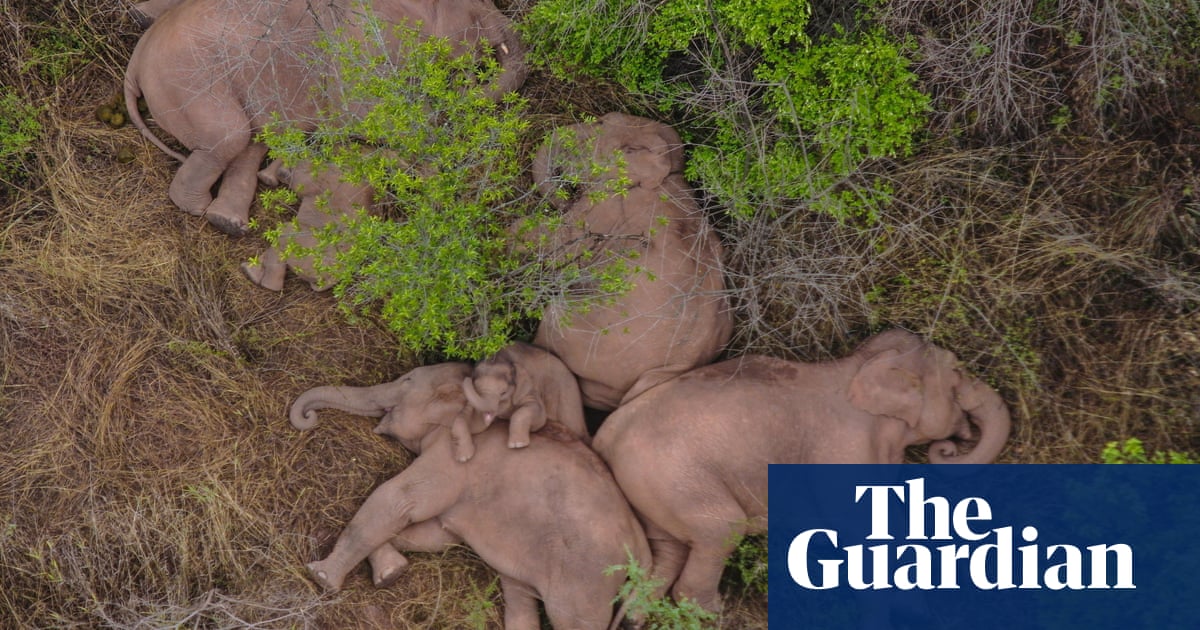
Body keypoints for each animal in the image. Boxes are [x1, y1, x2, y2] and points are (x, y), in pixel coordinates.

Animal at [124, 0, 527, 236]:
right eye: (474, 19)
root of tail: (135, 61)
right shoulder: (360, 52)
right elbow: (373, 113)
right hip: (188, 79)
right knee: (232, 136)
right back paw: (199, 209)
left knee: (251, 141)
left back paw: (230, 223)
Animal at [289, 362, 652, 630]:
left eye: (407, 381)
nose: (309, 417)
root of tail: (643, 549)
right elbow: (434, 535)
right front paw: (392, 573)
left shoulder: (454, 459)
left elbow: (399, 499)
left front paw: (321, 577)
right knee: (519, 596)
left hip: (586, 581)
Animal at [459, 341, 588, 461]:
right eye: (476, 389)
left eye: (503, 393)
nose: (466, 379)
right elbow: (463, 419)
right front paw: (464, 458)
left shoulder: (530, 388)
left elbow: (538, 416)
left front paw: (517, 445)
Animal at [591, 329, 1012, 613]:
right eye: (958, 373)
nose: (950, 446)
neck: (858, 366)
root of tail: (604, 438)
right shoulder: (844, 449)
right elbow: (858, 528)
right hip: (671, 475)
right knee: (721, 529)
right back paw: (712, 611)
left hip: (654, 490)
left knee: (667, 552)